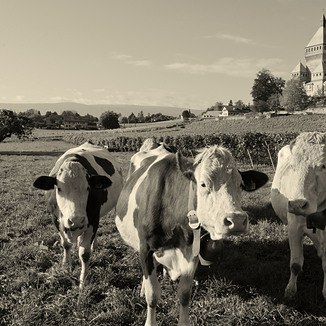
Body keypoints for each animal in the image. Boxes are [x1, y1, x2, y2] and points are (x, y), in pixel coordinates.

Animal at [33, 143, 123, 288]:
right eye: (59, 188)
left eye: (88, 188)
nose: (76, 220)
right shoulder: (56, 220)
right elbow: (66, 244)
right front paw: (66, 267)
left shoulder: (92, 219)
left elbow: (84, 253)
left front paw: (83, 281)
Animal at [116, 144, 268, 324]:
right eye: (203, 184)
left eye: (240, 185)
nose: (236, 220)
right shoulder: (145, 248)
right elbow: (152, 295)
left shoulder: (191, 252)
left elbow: (184, 294)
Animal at [270, 131, 326, 300]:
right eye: (293, 166)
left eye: (323, 165)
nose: (297, 204)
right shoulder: (294, 228)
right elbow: (295, 264)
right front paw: (290, 290)